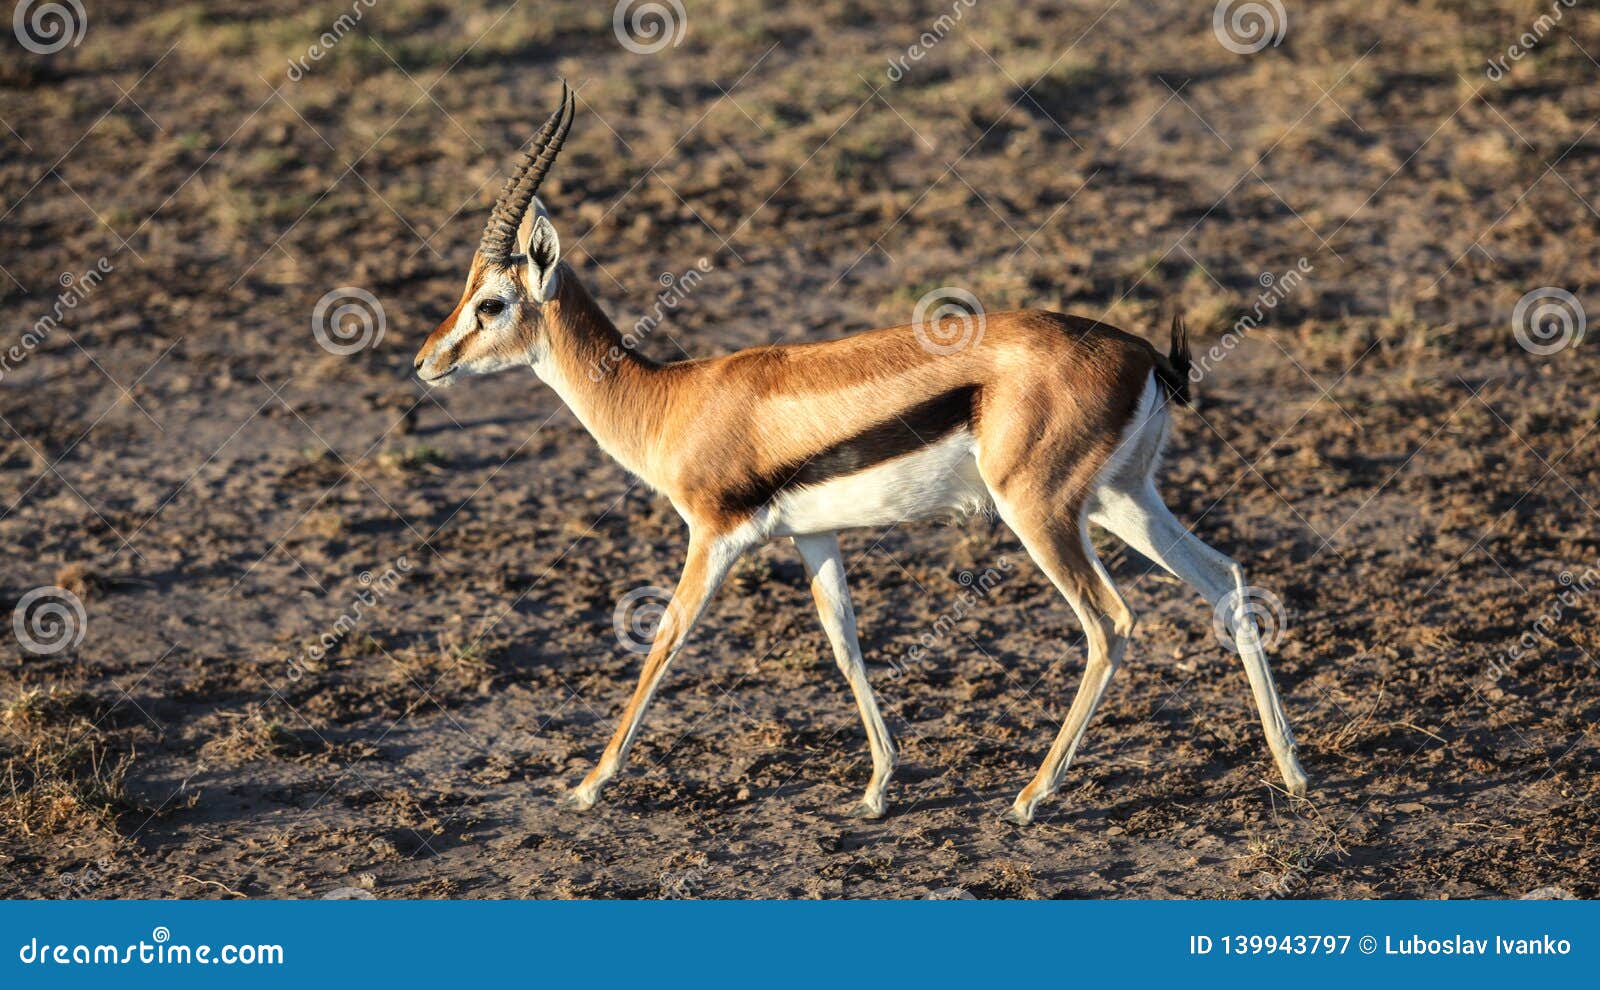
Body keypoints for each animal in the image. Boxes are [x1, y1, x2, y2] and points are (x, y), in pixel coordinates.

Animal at [413, 84, 1309, 823]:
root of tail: (1141, 354)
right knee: (1226, 581)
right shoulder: (814, 536)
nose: (425, 362)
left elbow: (664, 638)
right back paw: (1293, 774)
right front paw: (878, 788)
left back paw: (1030, 797)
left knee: (1110, 621)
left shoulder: (713, 536)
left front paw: (588, 785)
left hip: (1040, 511)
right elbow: (845, 643)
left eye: (491, 303)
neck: (670, 399)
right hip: (1123, 497)